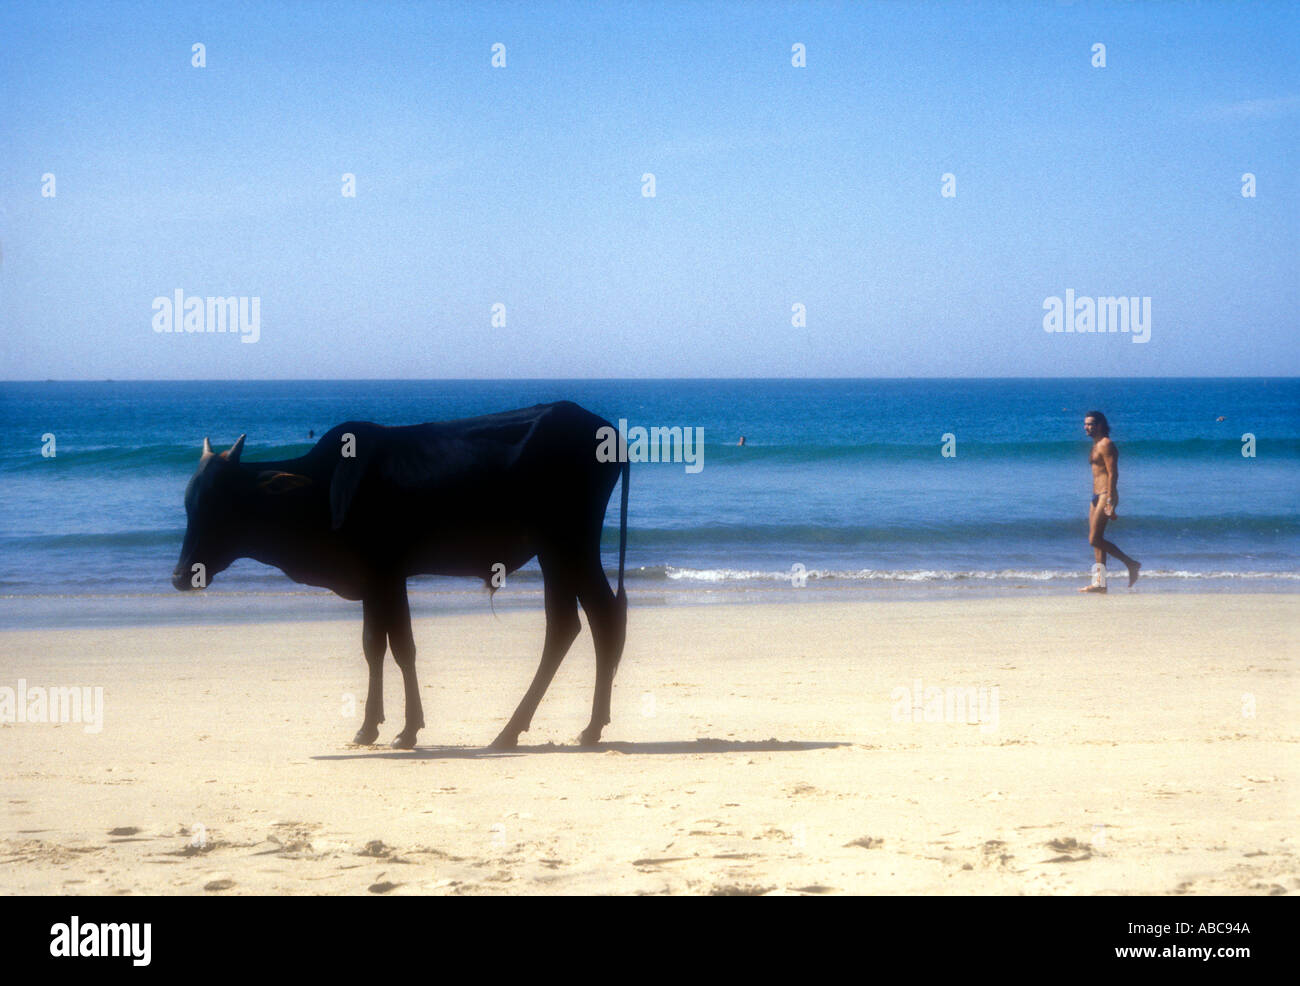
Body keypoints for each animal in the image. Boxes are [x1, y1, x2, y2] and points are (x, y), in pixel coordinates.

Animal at [171, 401, 629, 750]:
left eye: (222, 505)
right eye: (190, 505)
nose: (179, 576)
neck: (322, 490)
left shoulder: (386, 574)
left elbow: (399, 647)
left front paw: (405, 730)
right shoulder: (376, 582)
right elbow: (376, 646)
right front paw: (371, 727)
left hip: (564, 544)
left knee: (578, 621)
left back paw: (524, 730)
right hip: (563, 550)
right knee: (589, 620)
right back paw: (585, 726)